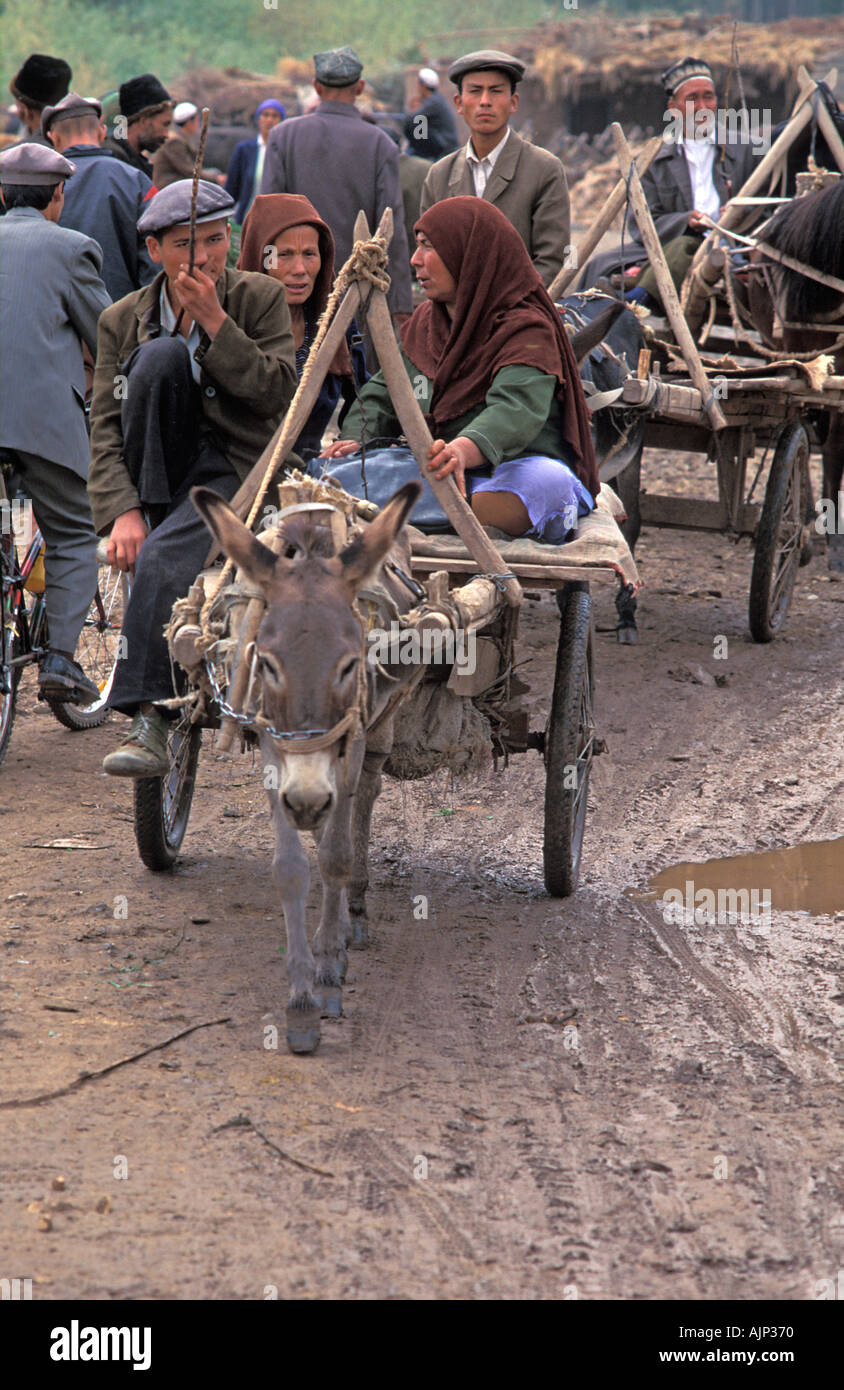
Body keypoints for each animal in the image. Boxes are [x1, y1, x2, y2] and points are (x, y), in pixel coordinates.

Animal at [192, 480, 422, 1055]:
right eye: (268, 663)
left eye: (348, 664)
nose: (307, 800)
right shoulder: (273, 743)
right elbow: (292, 869)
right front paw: (300, 1004)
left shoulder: (350, 736)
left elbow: (337, 855)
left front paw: (330, 974)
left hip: (379, 728)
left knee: (364, 798)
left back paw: (351, 914)